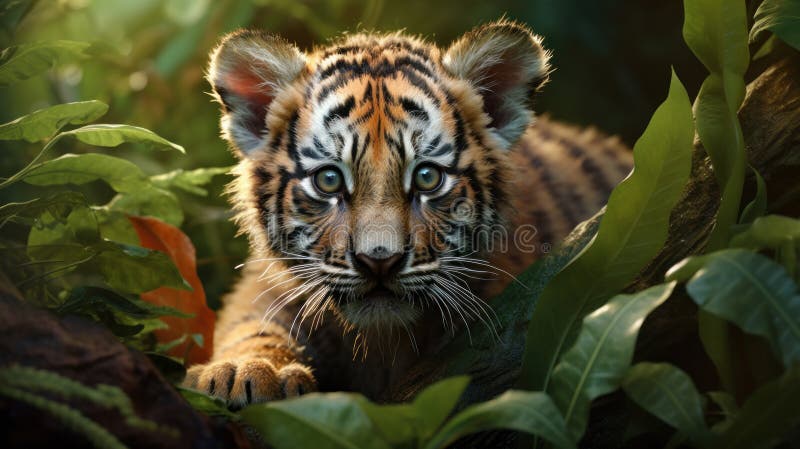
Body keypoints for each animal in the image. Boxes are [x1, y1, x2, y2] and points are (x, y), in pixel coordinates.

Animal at [183, 19, 632, 406]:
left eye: (428, 178)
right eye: (328, 180)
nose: (379, 261)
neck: (381, 340)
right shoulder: (267, 288)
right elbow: (252, 328)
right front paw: (247, 371)